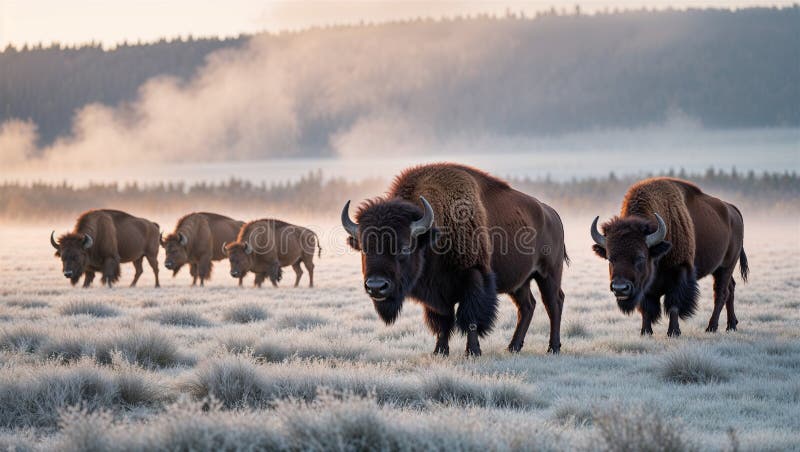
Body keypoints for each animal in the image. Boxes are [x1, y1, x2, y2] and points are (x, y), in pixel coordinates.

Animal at [341, 163, 568, 356]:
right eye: (364, 249)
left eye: (404, 248)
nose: (376, 287)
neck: (433, 234)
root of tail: (552, 214)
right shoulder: (436, 292)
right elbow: (442, 320)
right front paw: (440, 351)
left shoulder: (474, 278)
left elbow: (470, 317)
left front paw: (473, 352)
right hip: (519, 282)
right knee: (527, 306)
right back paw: (513, 347)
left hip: (548, 274)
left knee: (553, 303)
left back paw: (553, 348)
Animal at [591, 177, 748, 336]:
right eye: (610, 258)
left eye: (640, 257)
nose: (620, 288)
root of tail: (732, 210)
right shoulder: (646, 286)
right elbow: (646, 307)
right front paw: (645, 332)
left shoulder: (679, 273)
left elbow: (673, 304)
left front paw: (673, 332)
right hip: (720, 269)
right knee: (730, 289)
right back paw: (731, 325)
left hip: (726, 266)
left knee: (721, 293)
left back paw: (711, 327)